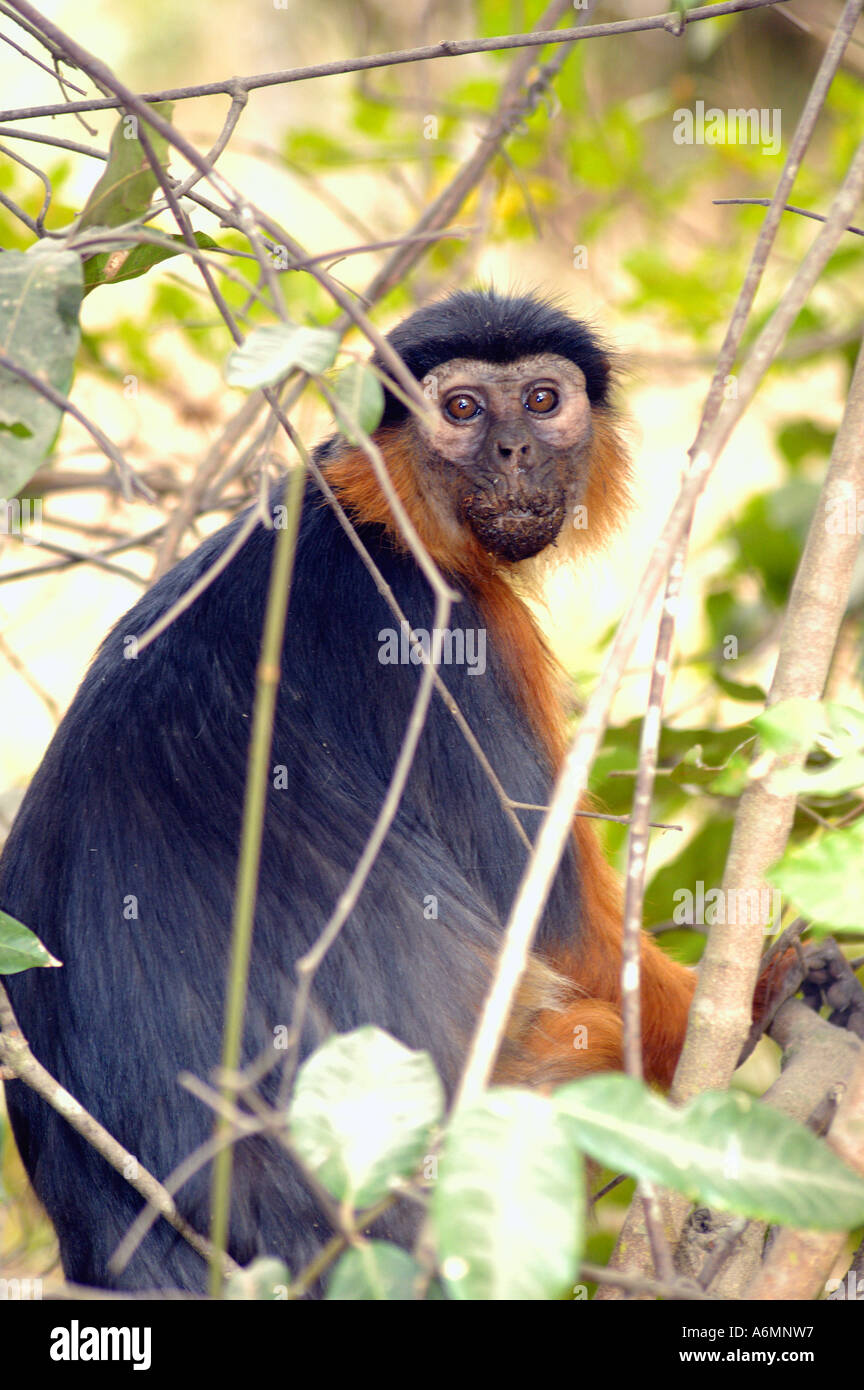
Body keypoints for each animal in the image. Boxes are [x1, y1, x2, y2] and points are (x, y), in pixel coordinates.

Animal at [0, 289, 701, 1292]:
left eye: (540, 399)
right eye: (462, 410)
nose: (514, 451)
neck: (382, 516)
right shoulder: (444, 634)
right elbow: (570, 938)